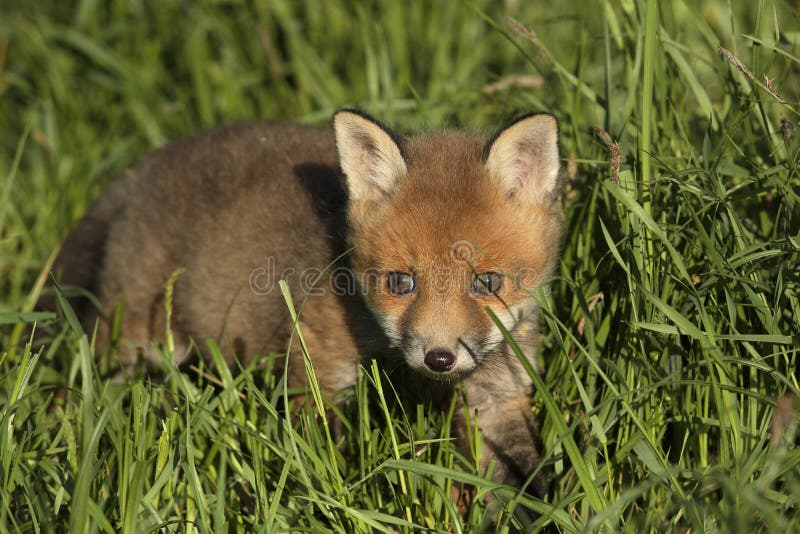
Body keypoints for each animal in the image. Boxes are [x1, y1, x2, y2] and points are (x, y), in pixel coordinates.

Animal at [48, 110, 563, 497]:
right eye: (400, 282)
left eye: (487, 282)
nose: (439, 358)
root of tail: (148, 165)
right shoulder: (315, 369)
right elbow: (326, 461)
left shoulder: (496, 387)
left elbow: (519, 477)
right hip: (135, 343)